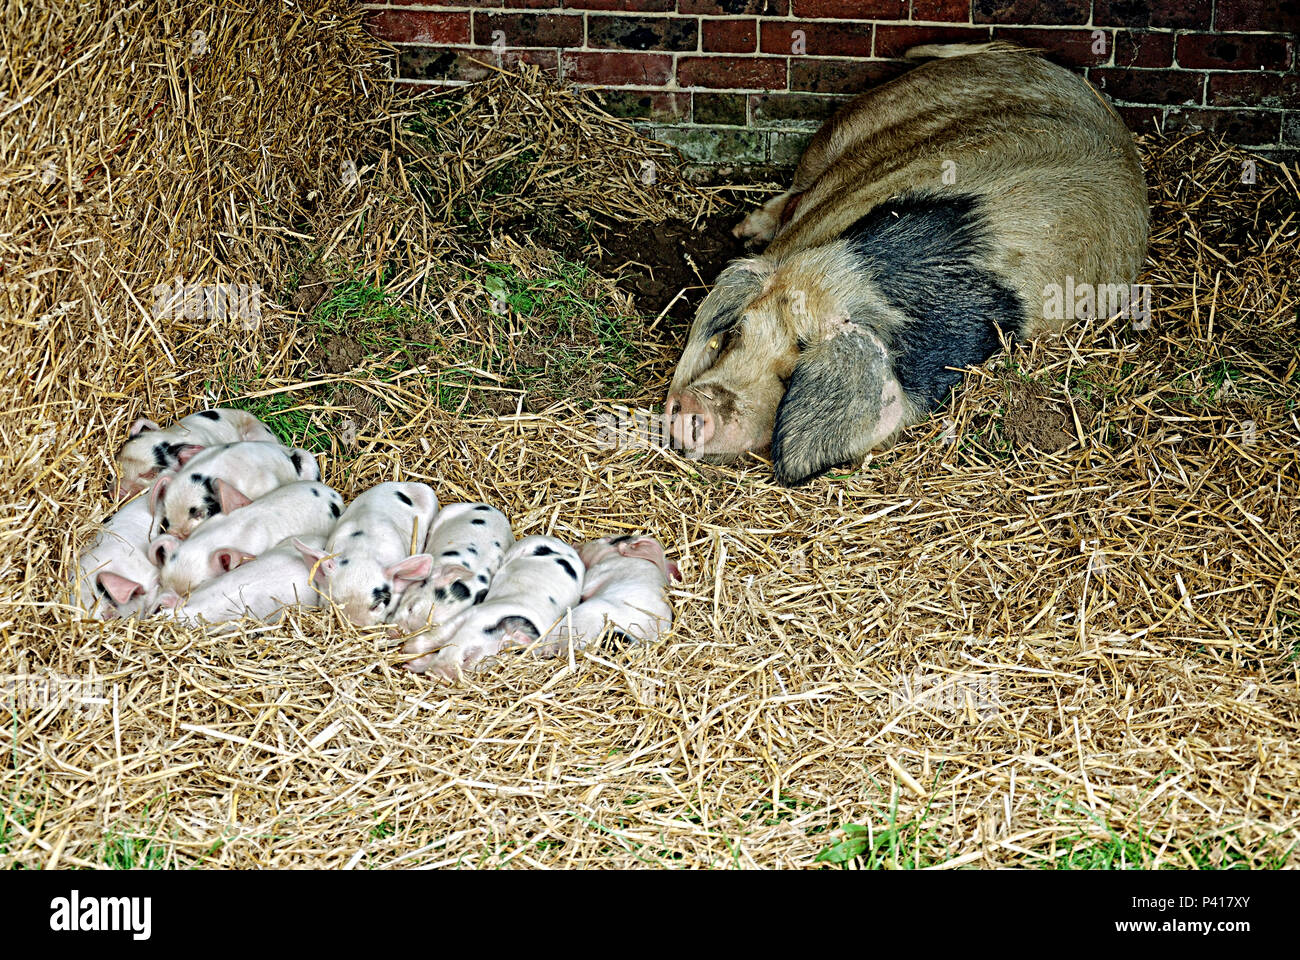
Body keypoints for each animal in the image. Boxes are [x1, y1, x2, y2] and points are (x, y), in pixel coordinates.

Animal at [400, 535, 585, 679]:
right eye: (468, 654)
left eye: (475, 663)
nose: (442, 674)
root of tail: (565, 545)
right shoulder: (477, 611)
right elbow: (440, 634)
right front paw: (408, 649)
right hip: (520, 547)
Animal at [664, 43, 1149, 486]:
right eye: (735, 334)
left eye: (791, 374)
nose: (692, 406)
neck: (861, 280)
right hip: (849, 126)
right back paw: (744, 230)